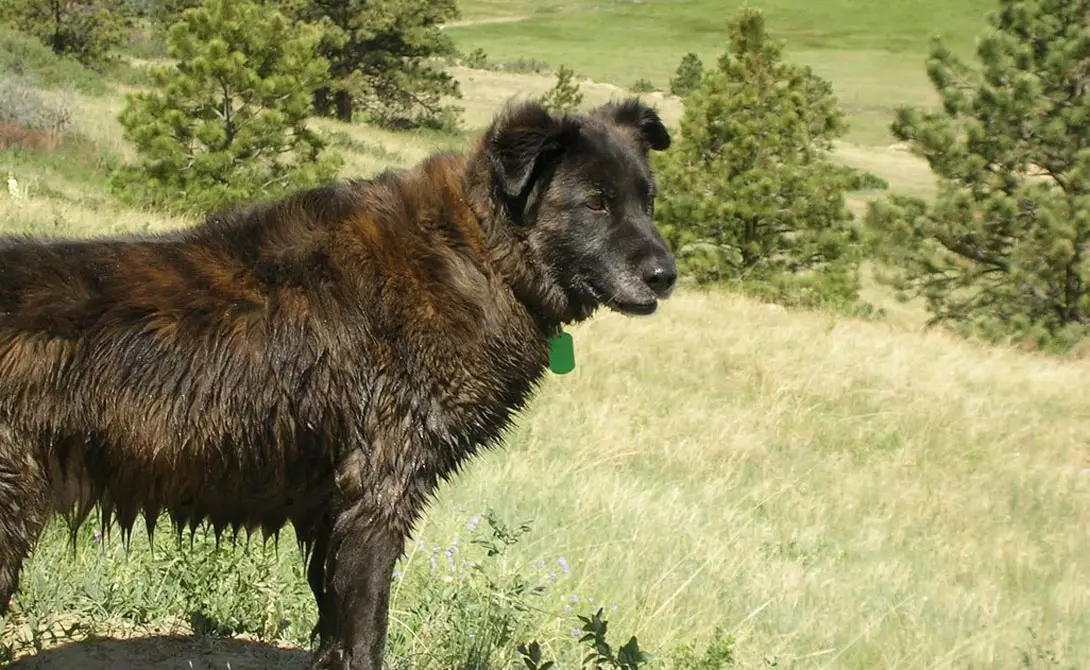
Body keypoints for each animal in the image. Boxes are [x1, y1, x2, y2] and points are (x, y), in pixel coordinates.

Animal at [0, 96, 675, 666]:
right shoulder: (378, 496)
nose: (666, 275)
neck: (473, 250)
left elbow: (332, 629)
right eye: (595, 202)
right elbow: (365, 634)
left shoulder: (332, 511)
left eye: (647, 201)